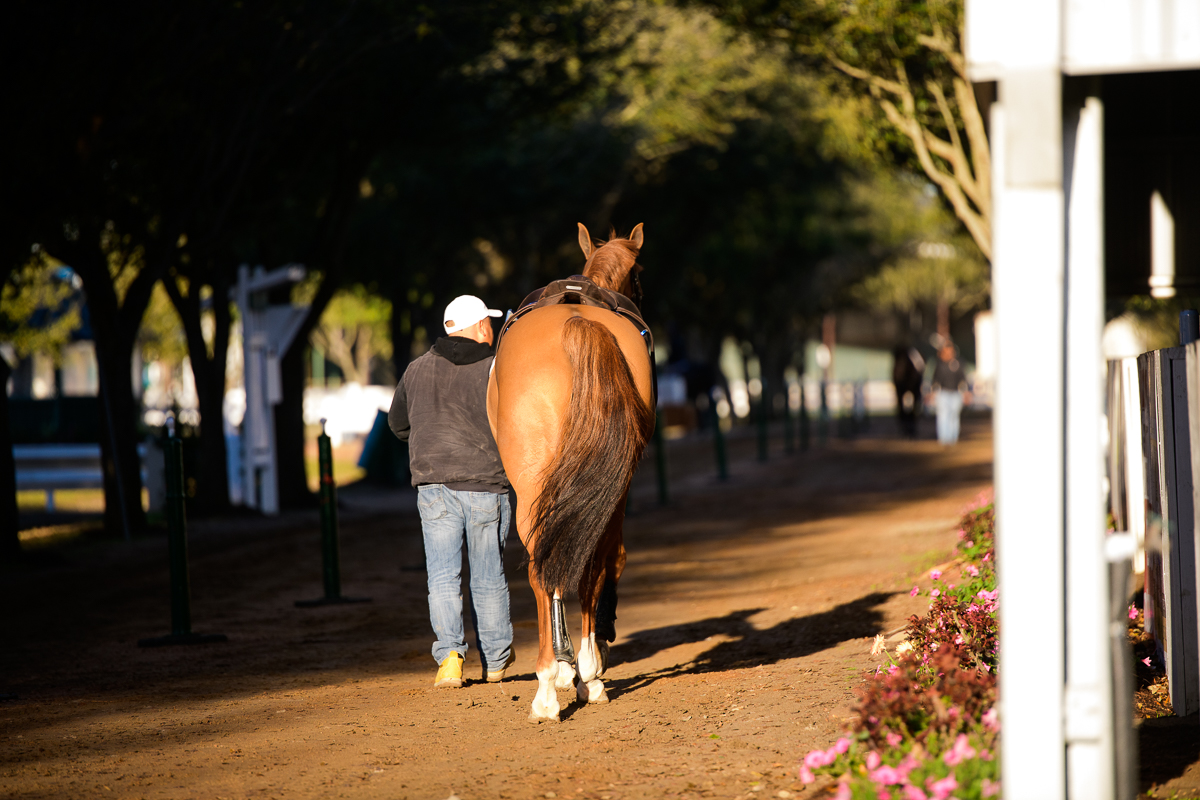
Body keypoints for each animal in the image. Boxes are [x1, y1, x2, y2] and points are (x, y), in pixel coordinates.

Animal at [487, 223, 655, 722]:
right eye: (640, 274)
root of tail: (577, 322)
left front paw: (567, 668)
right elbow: (606, 561)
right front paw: (582, 665)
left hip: (532, 486)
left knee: (543, 566)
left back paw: (547, 686)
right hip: (603, 488)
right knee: (588, 563)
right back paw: (584, 675)